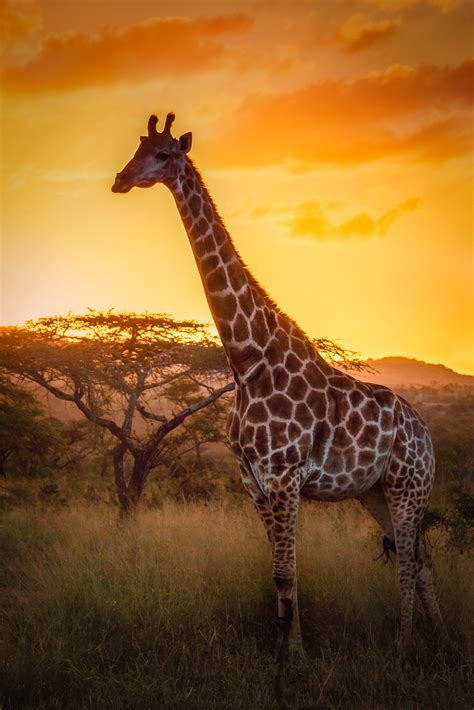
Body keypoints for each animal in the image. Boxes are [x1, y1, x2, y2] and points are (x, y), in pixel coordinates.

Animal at [112, 112, 443, 690]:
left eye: (163, 155)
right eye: (137, 149)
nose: (121, 179)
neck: (247, 358)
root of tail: (424, 431)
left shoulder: (284, 474)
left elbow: (288, 570)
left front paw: (292, 666)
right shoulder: (253, 478)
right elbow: (280, 573)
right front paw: (288, 657)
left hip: (409, 485)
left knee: (407, 561)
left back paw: (404, 653)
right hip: (375, 492)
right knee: (421, 560)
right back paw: (444, 643)